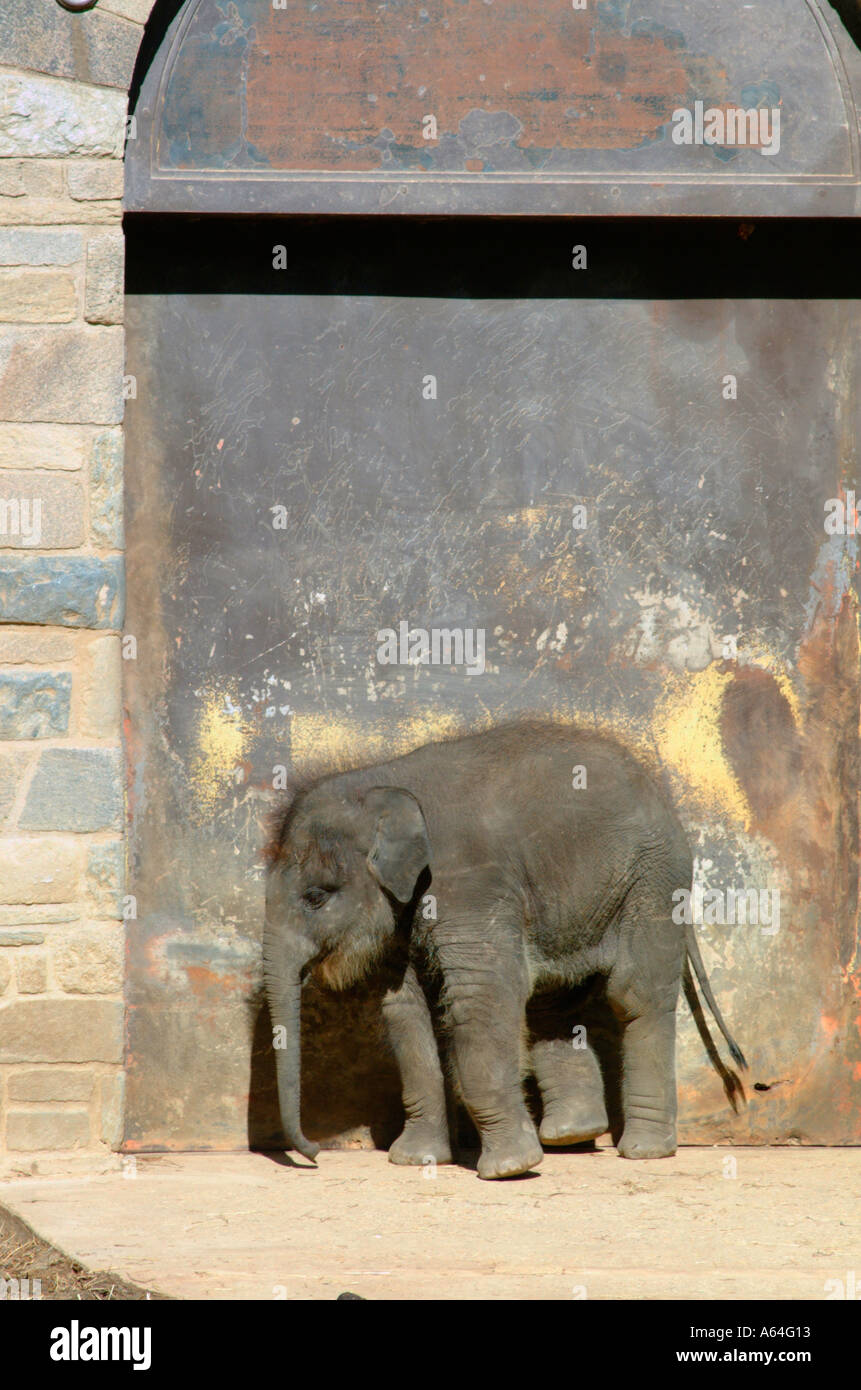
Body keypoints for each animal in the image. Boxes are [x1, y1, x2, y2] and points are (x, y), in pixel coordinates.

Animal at [263, 720, 746, 1179]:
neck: (384, 780)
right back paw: (571, 1135)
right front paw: (418, 1160)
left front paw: (509, 1168)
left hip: (653, 879)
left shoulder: (470, 882)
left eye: (316, 897)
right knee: (553, 1000)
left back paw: (643, 1150)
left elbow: (481, 997)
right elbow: (406, 1009)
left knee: (634, 995)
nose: (313, 1154)